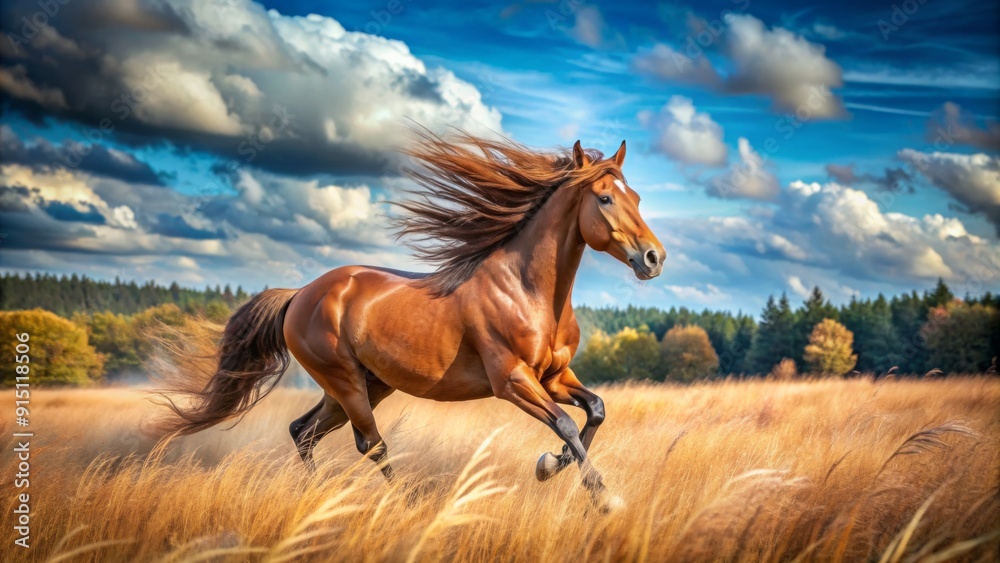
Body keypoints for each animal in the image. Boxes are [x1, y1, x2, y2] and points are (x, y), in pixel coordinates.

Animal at [155, 133, 665, 510]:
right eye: (604, 198)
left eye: (638, 197)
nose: (654, 258)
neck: (527, 291)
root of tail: (300, 294)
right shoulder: (512, 380)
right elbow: (564, 424)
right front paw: (604, 498)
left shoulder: (555, 376)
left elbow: (594, 410)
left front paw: (549, 465)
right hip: (345, 381)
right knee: (371, 445)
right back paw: (404, 503)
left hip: (364, 385)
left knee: (303, 432)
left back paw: (318, 496)